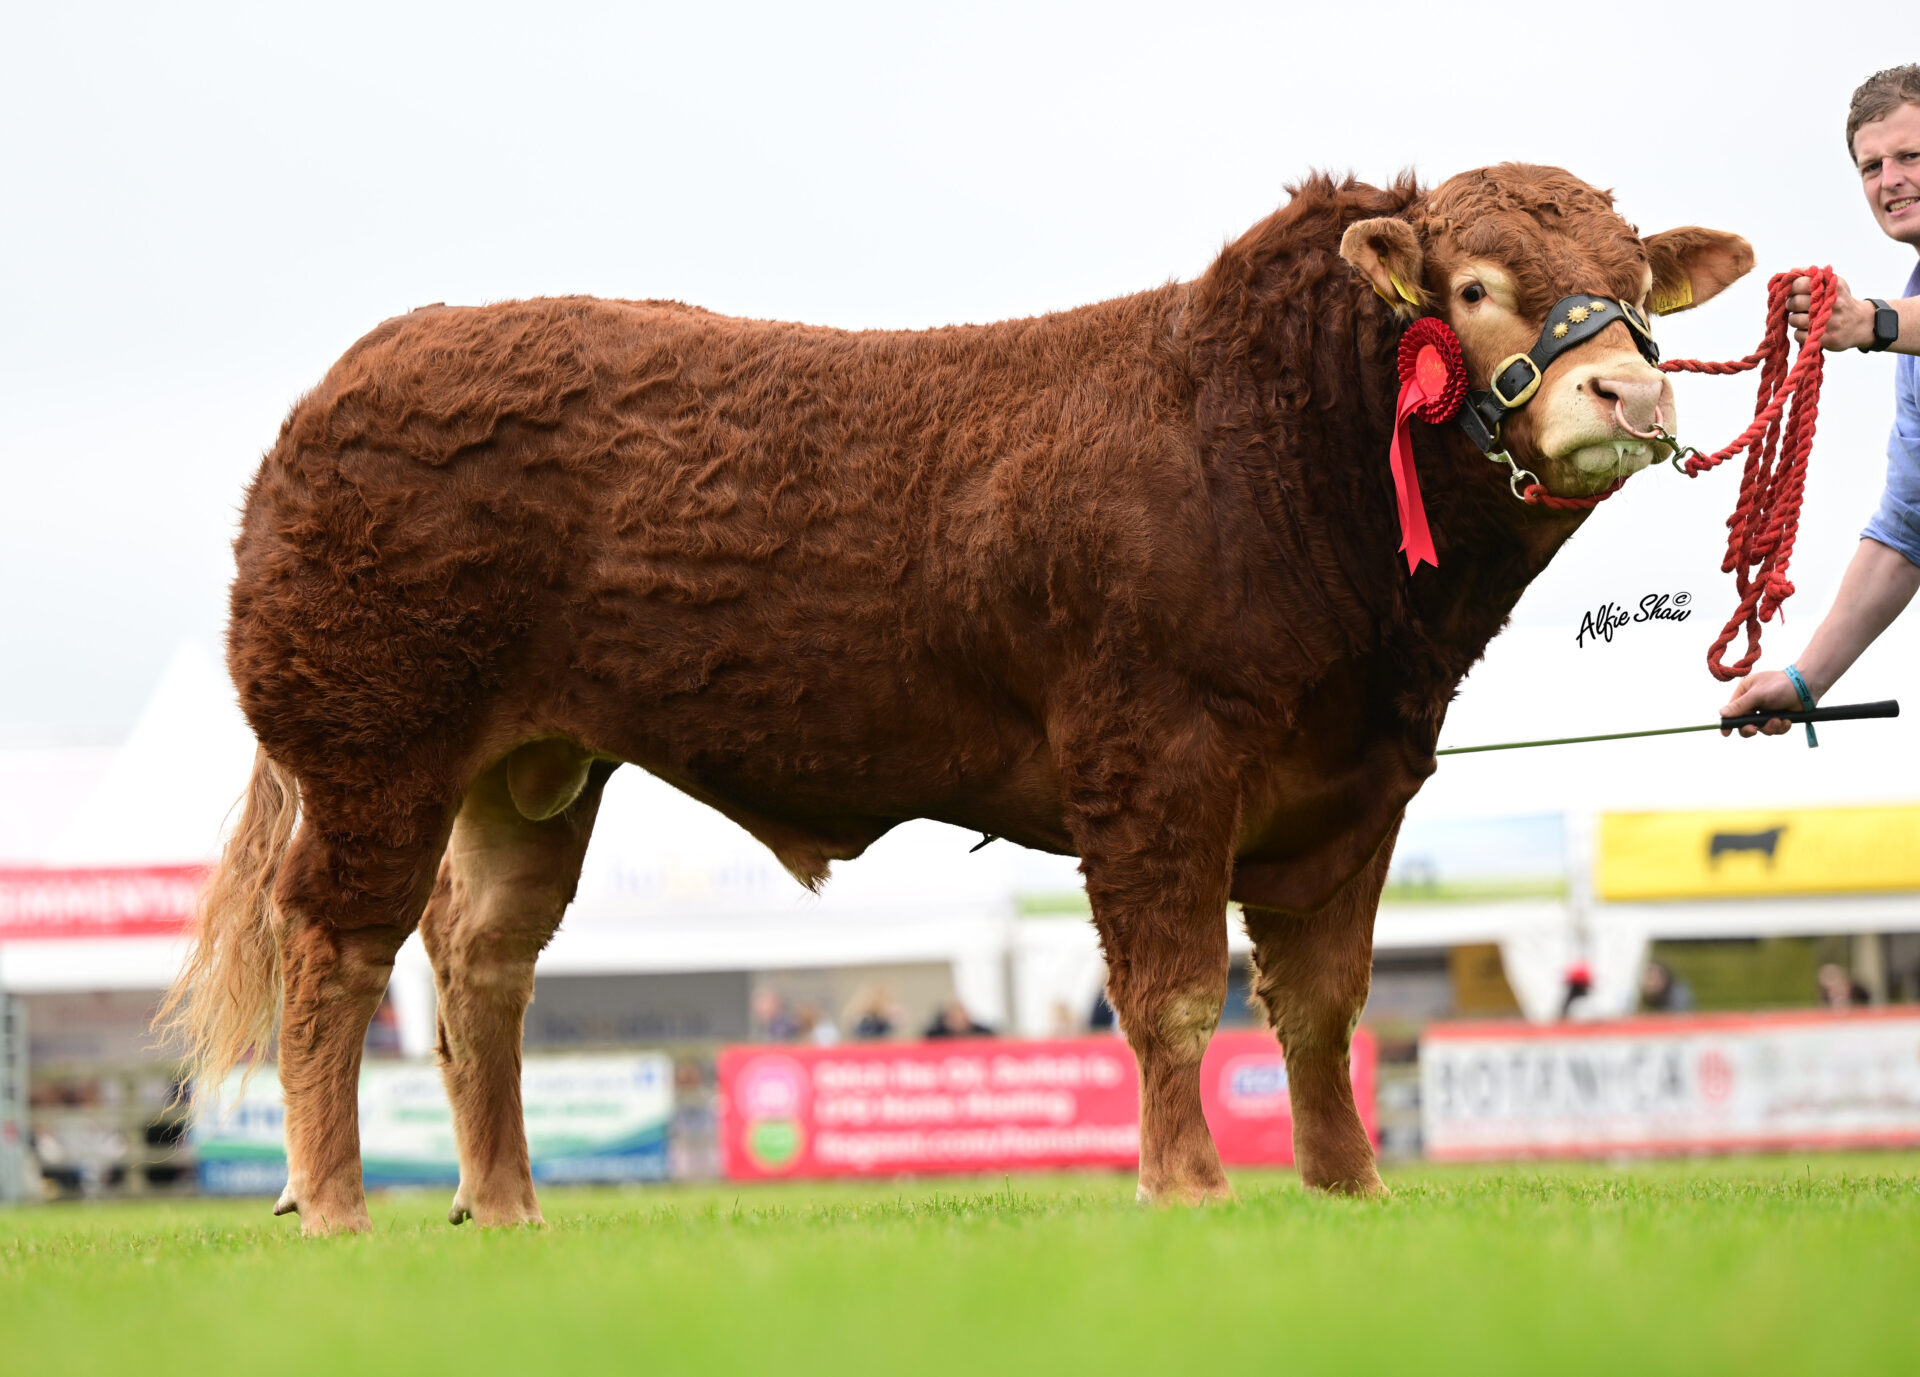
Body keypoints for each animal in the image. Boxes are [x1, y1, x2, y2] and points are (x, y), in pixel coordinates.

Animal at [160, 164, 1751, 1234]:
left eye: (1633, 281)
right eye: (1475, 287)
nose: (1630, 397)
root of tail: (362, 368)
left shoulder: (1357, 790)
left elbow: (1320, 1004)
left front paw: (1346, 1184)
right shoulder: (1152, 766)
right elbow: (1174, 994)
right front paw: (1188, 1187)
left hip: (529, 775)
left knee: (480, 965)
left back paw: (502, 1209)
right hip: (374, 749)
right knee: (337, 956)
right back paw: (336, 1203)